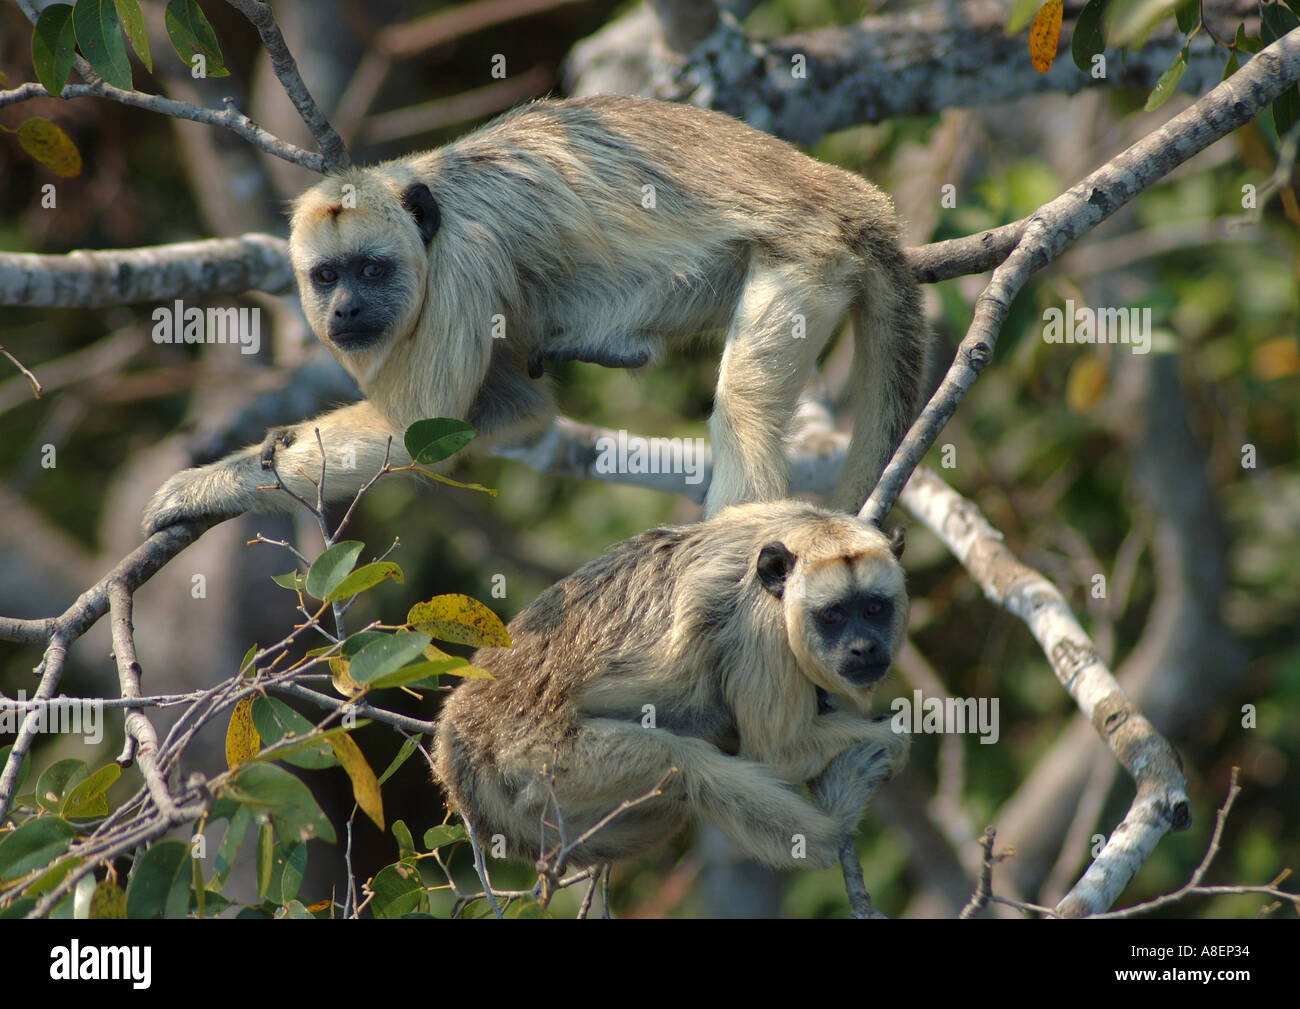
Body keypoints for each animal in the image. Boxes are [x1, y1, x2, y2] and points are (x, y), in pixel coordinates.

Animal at [142, 94, 927, 534]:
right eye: (326, 274)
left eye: (372, 268)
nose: (346, 308)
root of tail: (848, 194)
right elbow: (509, 414)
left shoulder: (461, 261)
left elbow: (422, 422)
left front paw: (211, 482)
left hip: (807, 255)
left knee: (744, 406)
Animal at [432, 500, 909, 872]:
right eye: (832, 616)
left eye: (875, 608)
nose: (864, 648)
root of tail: (459, 731)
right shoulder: (761, 626)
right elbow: (779, 751)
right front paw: (891, 737)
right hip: (534, 754)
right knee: (686, 764)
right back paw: (833, 827)